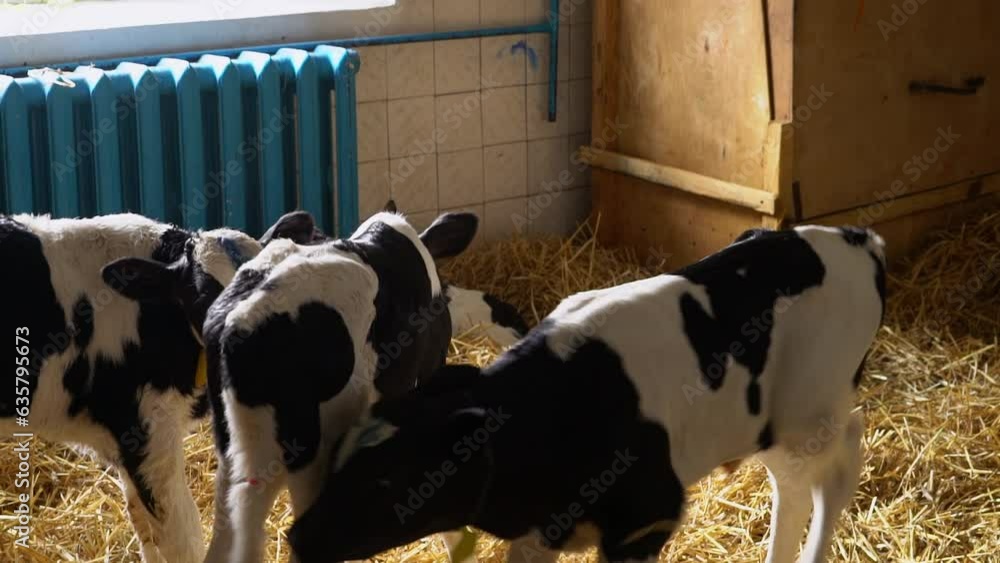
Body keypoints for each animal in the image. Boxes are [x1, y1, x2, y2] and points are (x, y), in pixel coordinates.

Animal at [287, 225, 887, 563]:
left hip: (799, 421)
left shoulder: (647, 518)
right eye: (336, 460)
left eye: (387, 479)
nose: (298, 538)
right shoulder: (537, 530)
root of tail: (859, 240)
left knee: (814, 481)